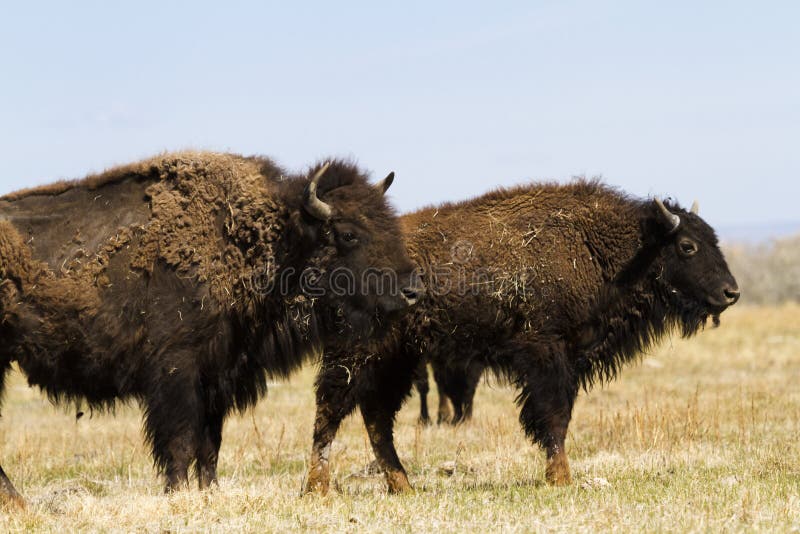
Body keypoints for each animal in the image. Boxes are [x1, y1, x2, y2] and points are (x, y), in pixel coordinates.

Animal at [0, 151, 422, 505]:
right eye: (348, 233)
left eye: (390, 222)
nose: (412, 290)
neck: (265, 239)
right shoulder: (178, 373)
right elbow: (181, 441)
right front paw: (177, 493)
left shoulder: (219, 376)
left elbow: (210, 444)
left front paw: (209, 491)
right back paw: (18, 503)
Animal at [305, 179, 739, 493]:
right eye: (687, 246)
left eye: (714, 239)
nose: (730, 292)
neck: (608, 249)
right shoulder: (546, 355)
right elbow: (554, 417)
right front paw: (561, 478)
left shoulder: (570, 359)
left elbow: (558, 415)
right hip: (359, 355)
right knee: (330, 410)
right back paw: (318, 487)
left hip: (398, 359)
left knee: (376, 416)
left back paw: (403, 485)